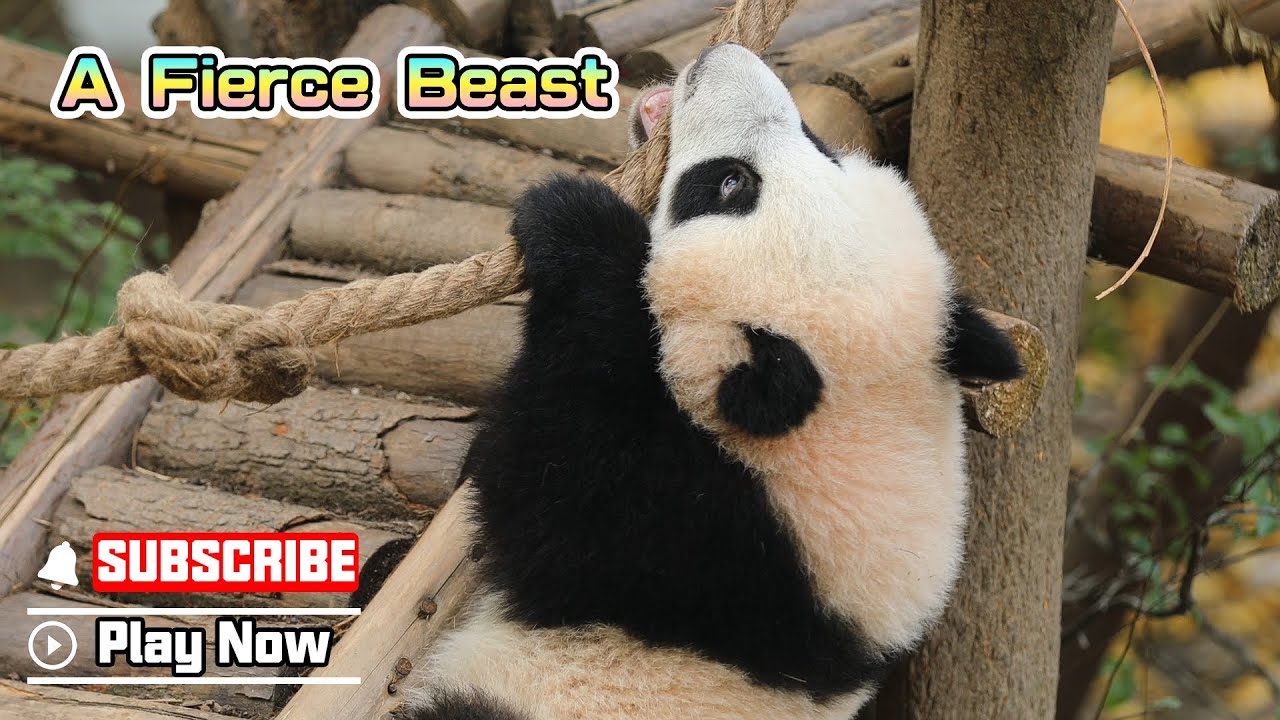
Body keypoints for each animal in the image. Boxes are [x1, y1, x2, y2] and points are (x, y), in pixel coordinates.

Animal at [400, 43, 1023, 720]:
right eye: (825, 149)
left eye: (730, 184)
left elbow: (549, 483)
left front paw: (575, 220)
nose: (717, 57)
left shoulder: (694, 556)